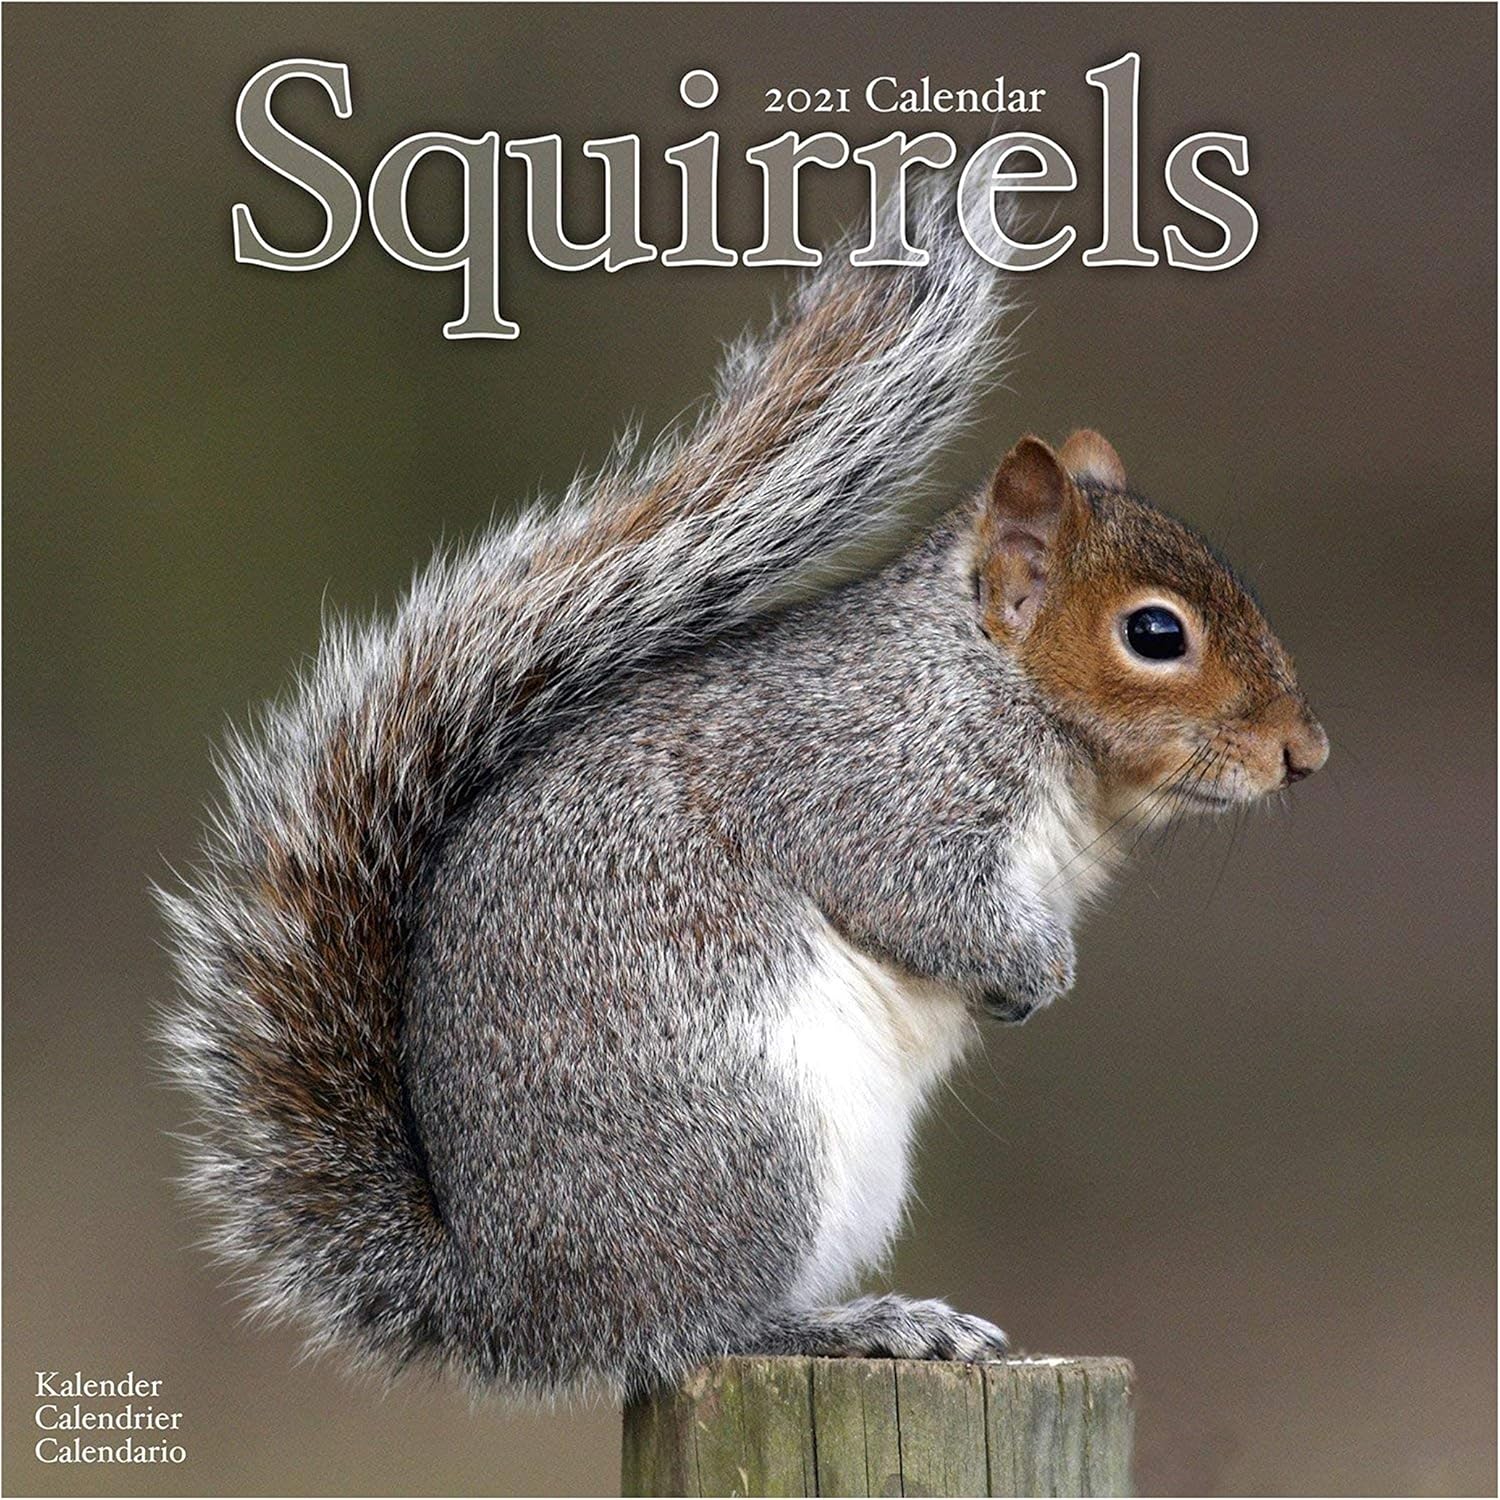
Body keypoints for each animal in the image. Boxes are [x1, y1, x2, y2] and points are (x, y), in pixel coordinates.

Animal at [160, 190, 1328, 1400]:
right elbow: (917, 898)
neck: (996, 686)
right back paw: (866, 1326)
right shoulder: (869, 782)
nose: (1306, 752)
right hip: (754, 1145)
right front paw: (1035, 968)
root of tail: (510, 1301)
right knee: (692, 1328)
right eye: (1155, 634)